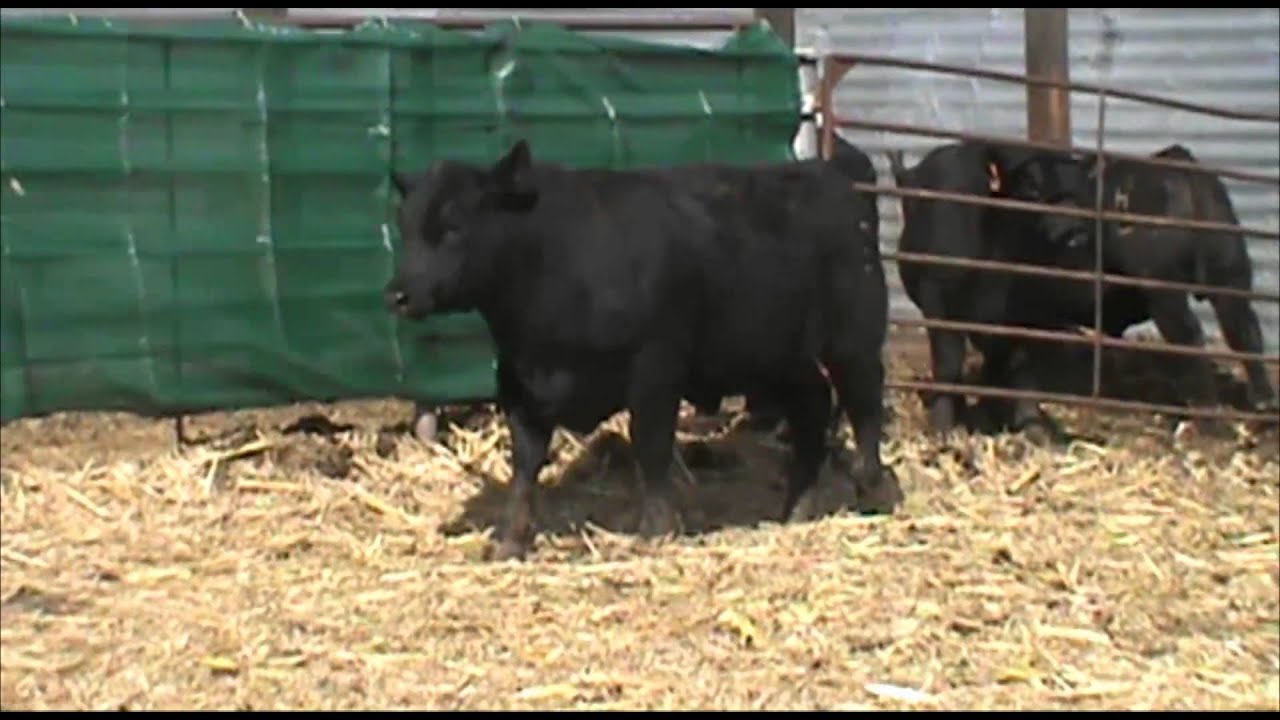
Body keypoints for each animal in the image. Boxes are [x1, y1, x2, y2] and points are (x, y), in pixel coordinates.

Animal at [385, 138, 900, 561]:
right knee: (813, 404)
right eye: (405, 228)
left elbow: (650, 443)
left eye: (453, 227)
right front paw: (511, 539)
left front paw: (656, 527)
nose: (398, 294)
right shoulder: (520, 383)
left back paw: (873, 485)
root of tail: (830, 176)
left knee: (864, 403)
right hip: (777, 355)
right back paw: (799, 507)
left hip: (853, 337)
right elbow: (525, 465)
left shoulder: (655, 365)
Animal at [886, 140, 1097, 436]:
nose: (1076, 234)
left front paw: (1032, 427)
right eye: (1030, 185)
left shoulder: (1033, 314)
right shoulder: (937, 296)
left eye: (1082, 190)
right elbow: (948, 361)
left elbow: (1021, 370)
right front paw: (942, 426)